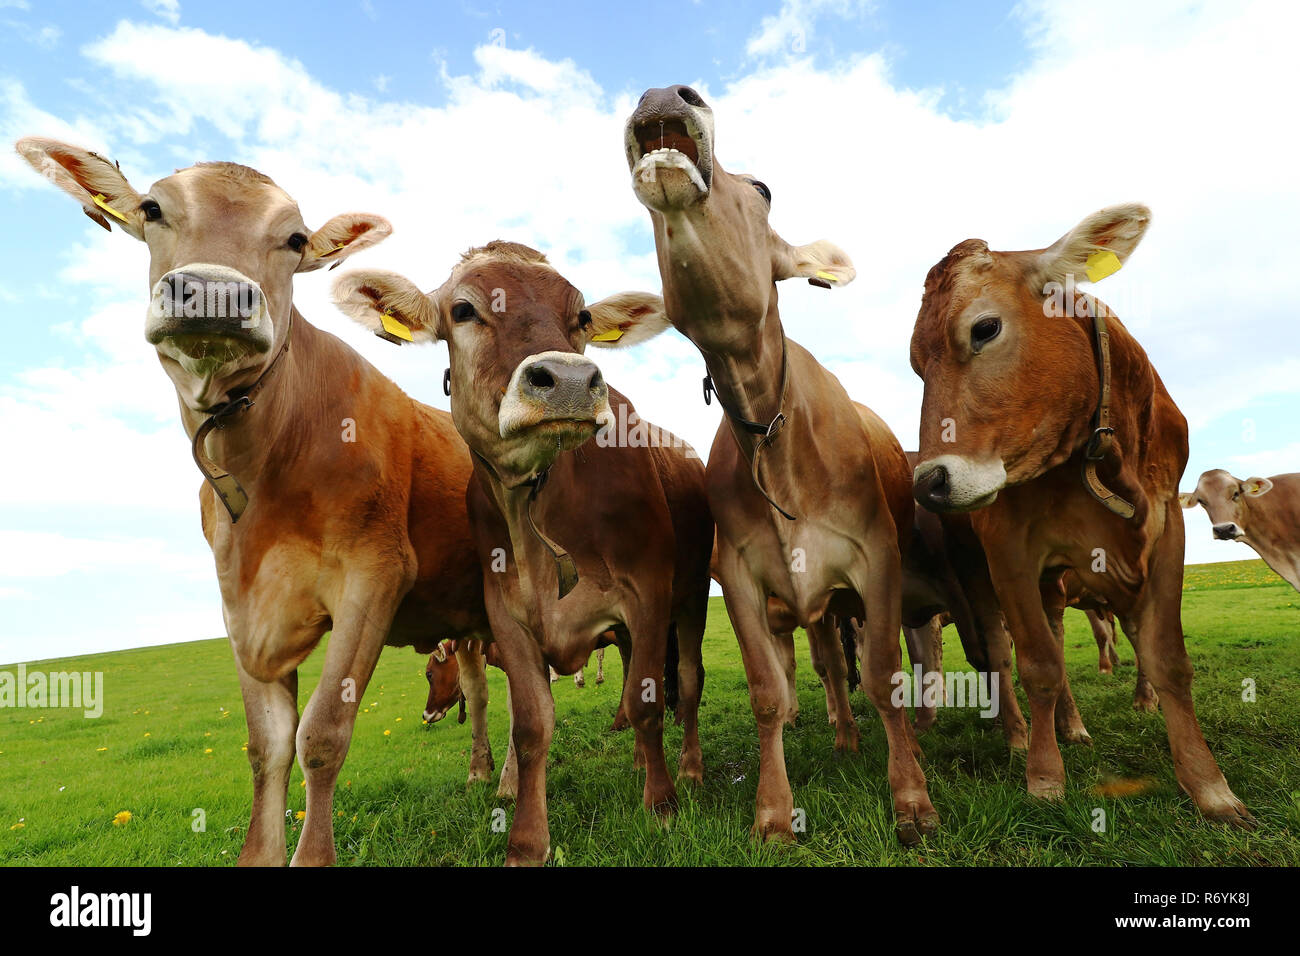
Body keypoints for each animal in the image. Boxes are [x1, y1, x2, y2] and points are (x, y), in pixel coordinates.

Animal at [14, 137, 505, 866]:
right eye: (153, 208)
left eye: (295, 240)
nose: (214, 294)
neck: (271, 451)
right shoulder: (240, 603)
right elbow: (267, 747)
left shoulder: (375, 574)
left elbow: (321, 736)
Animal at [331, 242, 713, 865]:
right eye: (462, 310)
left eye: (582, 316)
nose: (570, 382)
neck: (533, 505)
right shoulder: (506, 617)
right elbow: (531, 725)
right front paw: (528, 840)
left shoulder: (649, 593)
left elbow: (650, 701)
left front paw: (662, 806)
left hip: (694, 595)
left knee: (688, 679)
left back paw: (689, 769)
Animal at [623, 86, 938, 845]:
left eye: (764, 190)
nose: (662, 92)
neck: (774, 438)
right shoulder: (737, 572)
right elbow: (768, 692)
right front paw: (772, 810)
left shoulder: (877, 556)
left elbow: (885, 676)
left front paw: (911, 798)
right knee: (824, 662)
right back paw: (846, 736)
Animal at [909, 202, 1254, 827]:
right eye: (916, 365)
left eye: (984, 328)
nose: (930, 483)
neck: (1102, 455)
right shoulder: (1008, 548)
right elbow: (1038, 666)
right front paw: (1044, 779)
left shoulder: (1166, 527)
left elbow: (1167, 658)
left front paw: (1209, 786)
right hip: (979, 576)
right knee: (1001, 654)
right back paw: (1020, 736)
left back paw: (1071, 725)